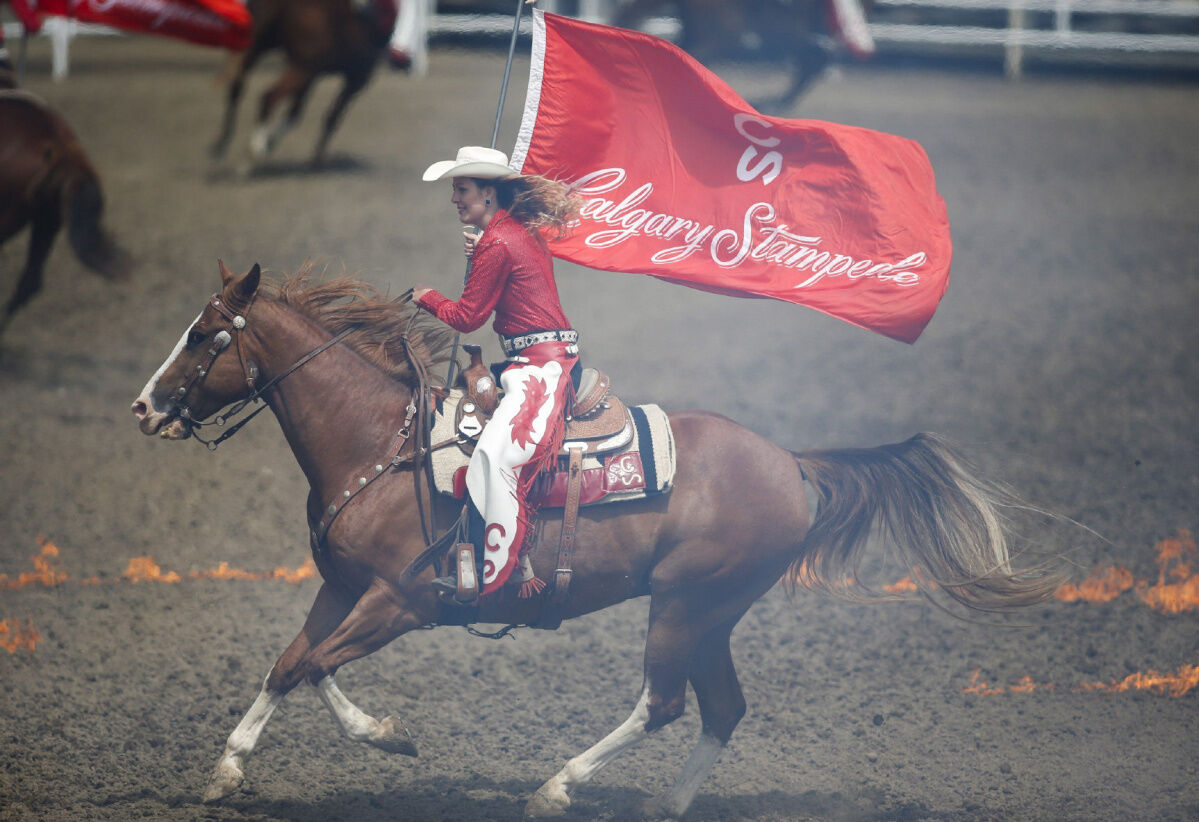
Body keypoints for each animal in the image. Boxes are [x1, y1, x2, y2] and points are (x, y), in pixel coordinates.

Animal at [130, 262, 1057, 819]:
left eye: (205, 335)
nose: (143, 407)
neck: (380, 447)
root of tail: (790, 462)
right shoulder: (339, 588)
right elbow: (288, 664)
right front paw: (226, 770)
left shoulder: (399, 601)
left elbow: (320, 669)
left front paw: (388, 735)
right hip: (712, 613)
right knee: (721, 708)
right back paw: (666, 807)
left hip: (682, 605)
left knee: (664, 702)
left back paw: (558, 785)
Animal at [210, 0, 398, 167]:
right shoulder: (355, 81)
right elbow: (332, 118)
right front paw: (316, 159)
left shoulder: (313, 77)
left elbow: (295, 113)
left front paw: (271, 142)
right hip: (302, 68)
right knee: (269, 96)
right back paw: (254, 152)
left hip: (261, 48)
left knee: (237, 88)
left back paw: (222, 146)